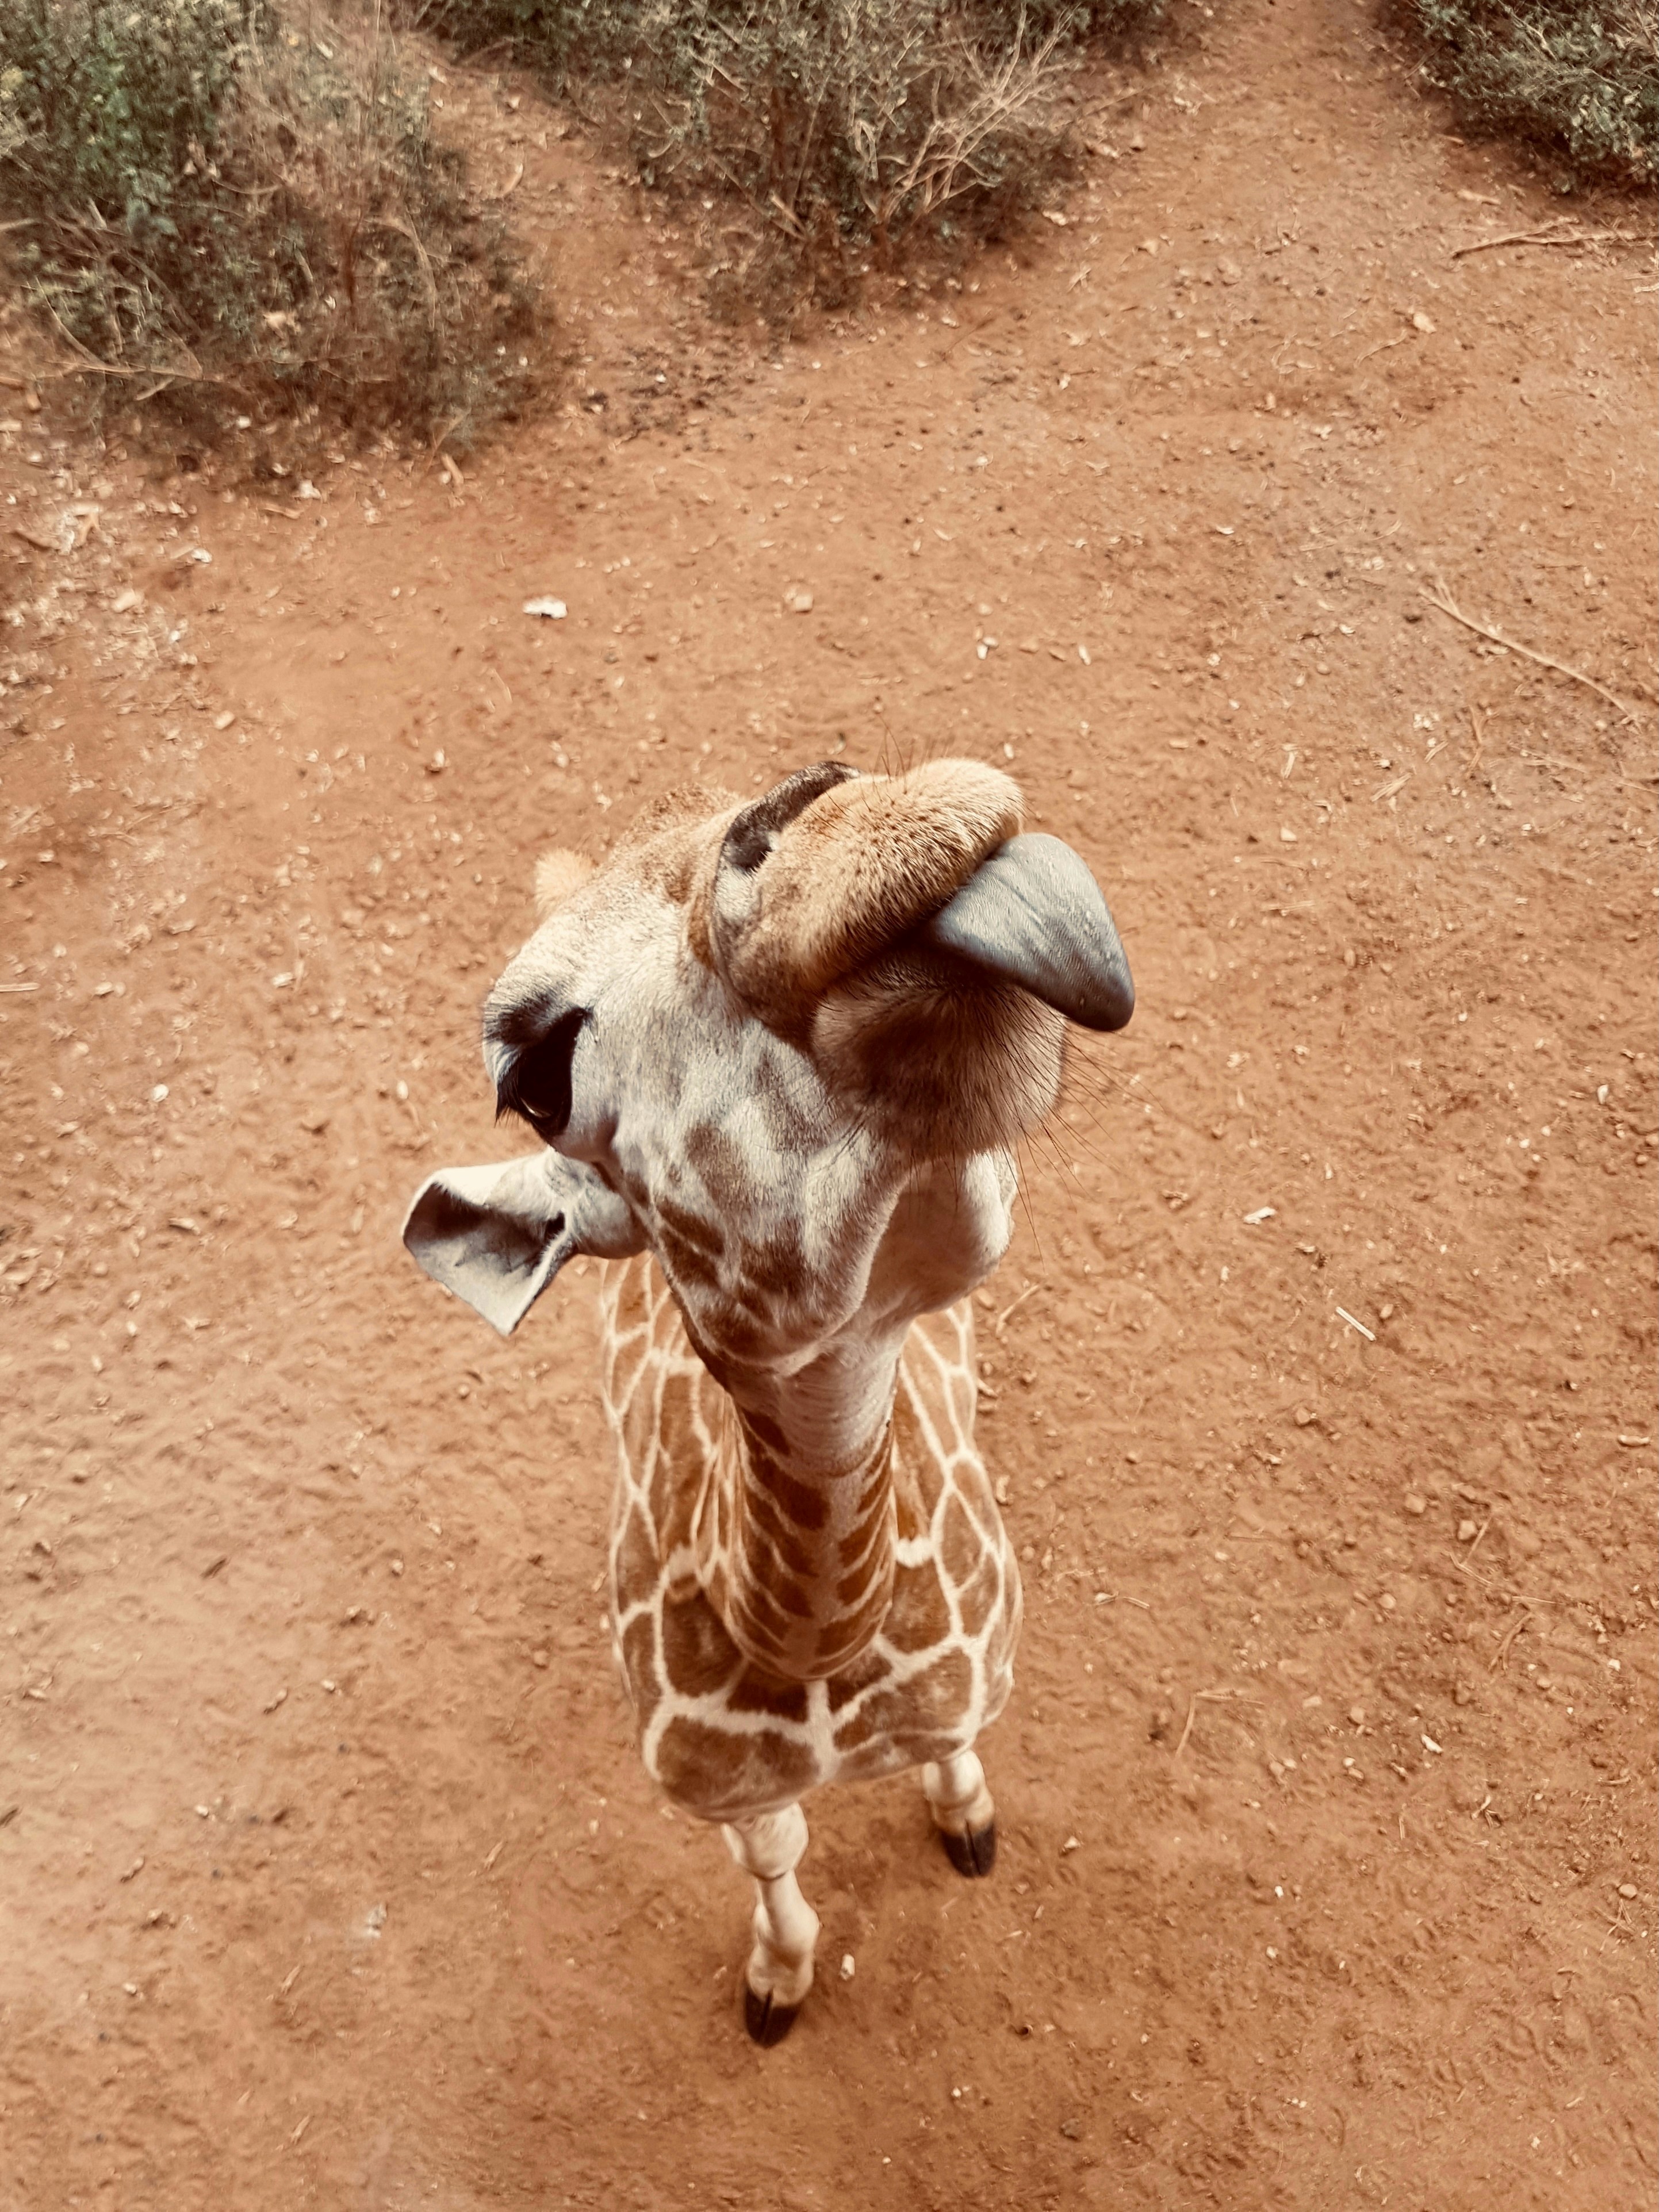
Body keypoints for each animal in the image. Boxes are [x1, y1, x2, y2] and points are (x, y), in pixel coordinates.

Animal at [403, 758, 1133, 2043]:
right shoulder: (712, 1793)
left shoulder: (975, 1681)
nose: (844, 816)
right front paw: (775, 1988)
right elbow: (776, 1856)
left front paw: (968, 1827)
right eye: (532, 1078)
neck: (812, 1645)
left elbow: (956, 1755)